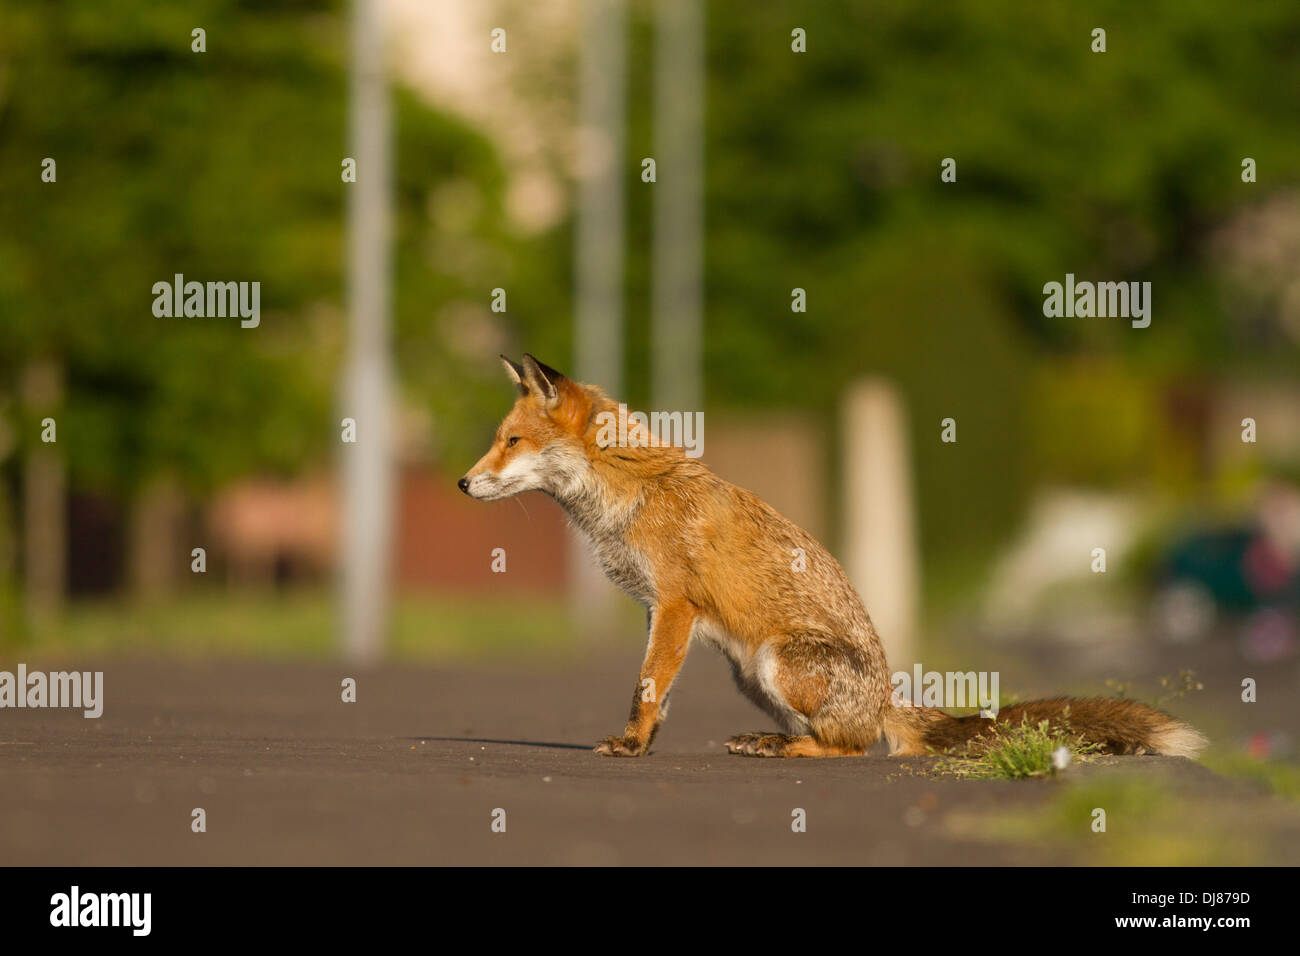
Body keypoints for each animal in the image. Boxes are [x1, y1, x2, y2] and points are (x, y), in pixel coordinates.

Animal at [459, 354, 1208, 760]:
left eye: (511, 441)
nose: (463, 483)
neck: (632, 493)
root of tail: (886, 698)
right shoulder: (660, 612)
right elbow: (656, 691)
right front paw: (644, 741)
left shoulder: (674, 604)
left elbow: (646, 687)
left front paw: (631, 746)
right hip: (747, 673)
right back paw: (768, 742)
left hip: (777, 659)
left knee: (851, 747)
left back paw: (793, 749)